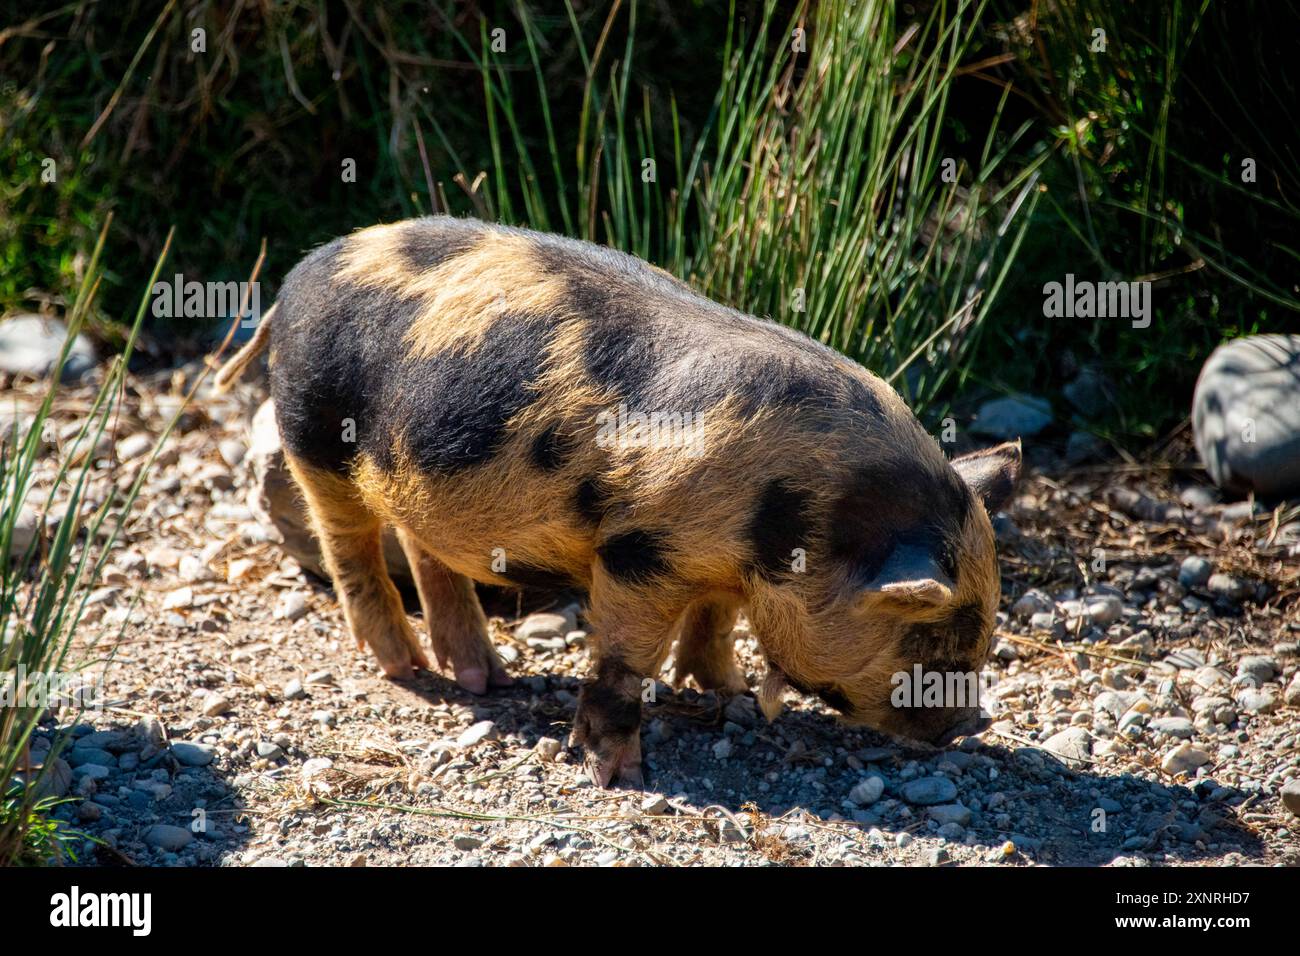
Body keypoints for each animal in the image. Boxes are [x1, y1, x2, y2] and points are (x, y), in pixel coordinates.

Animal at [215, 216, 1020, 786]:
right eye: (928, 639)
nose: (966, 726)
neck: (799, 517)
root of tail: (295, 279)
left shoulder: (716, 563)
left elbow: (715, 619)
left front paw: (726, 690)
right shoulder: (640, 550)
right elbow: (625, 660)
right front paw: (616, 774)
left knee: (423, 545)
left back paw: (482, 677)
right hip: (315, 435)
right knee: (347, 543)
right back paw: (407, 670)